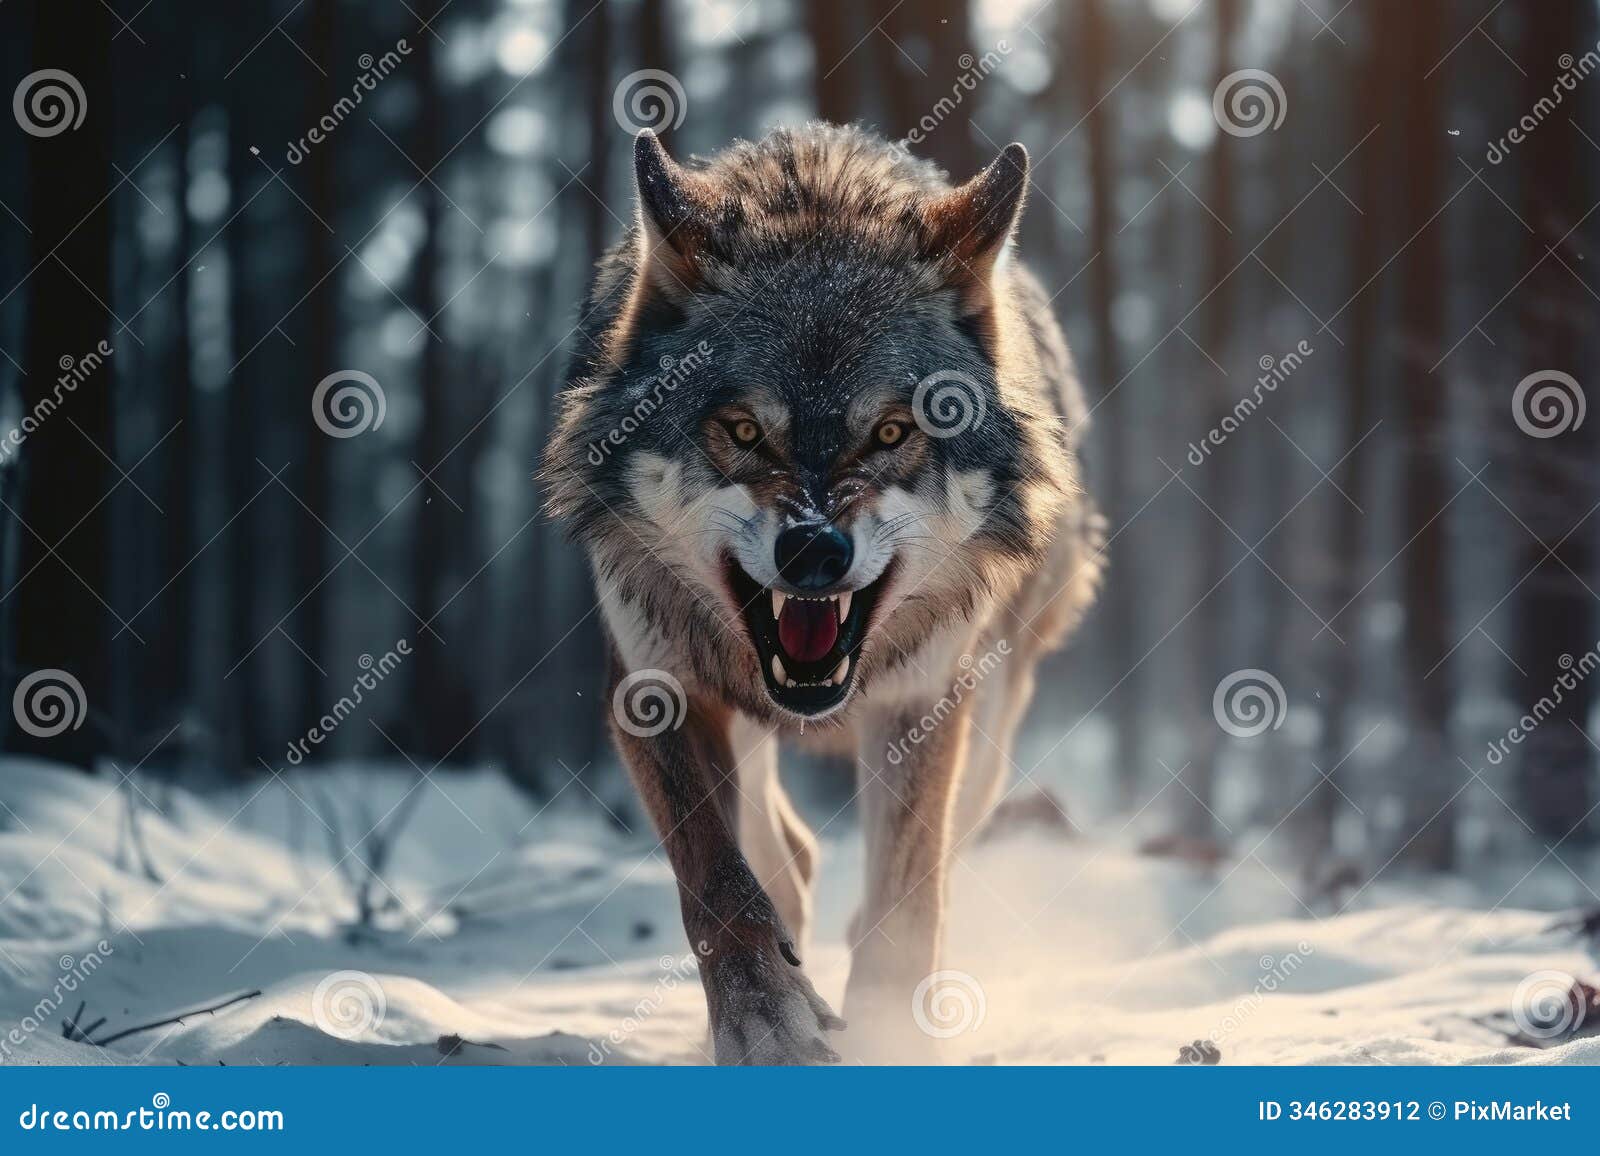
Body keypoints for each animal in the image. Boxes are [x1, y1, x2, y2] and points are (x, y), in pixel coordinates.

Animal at [544, 123, 1102, 1064]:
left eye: (893, 432)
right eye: (741, 430)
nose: (812, 548)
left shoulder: (922, 702)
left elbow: (908, 902)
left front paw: (888, 1035)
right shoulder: (655, 690)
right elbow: (719, 887)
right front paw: (768, 1023)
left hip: (989, 724)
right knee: (791, 860)